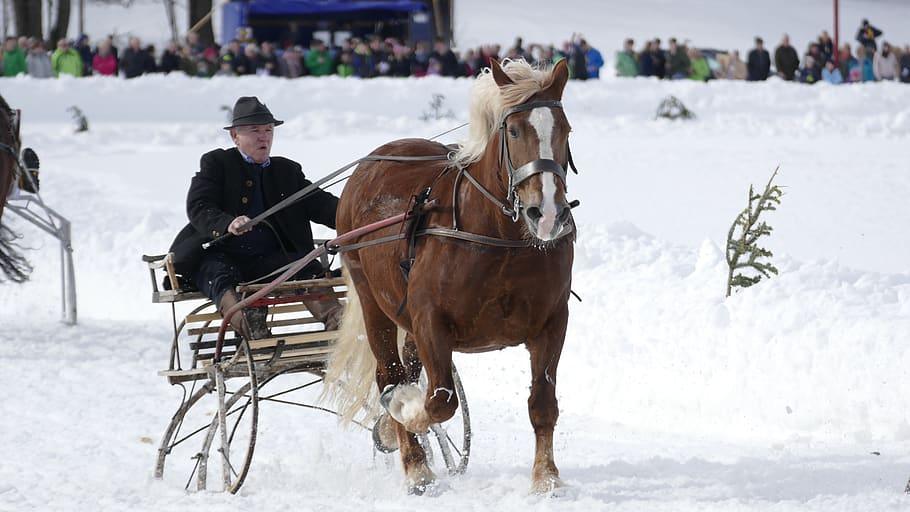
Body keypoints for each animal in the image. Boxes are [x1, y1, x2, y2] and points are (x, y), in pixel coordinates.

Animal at [324, 59, 575, 494]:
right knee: (389, 373)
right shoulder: (430, 321)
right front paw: (402, 411)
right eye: (513, 130)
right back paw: (414, 464)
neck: (499, 236)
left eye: (565, 130)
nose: (546, 214)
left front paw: (546, 479)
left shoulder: (552, 321)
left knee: (406, 371)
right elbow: (439, 402)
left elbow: (543, 402)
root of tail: (375, 159)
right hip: (373, 299)